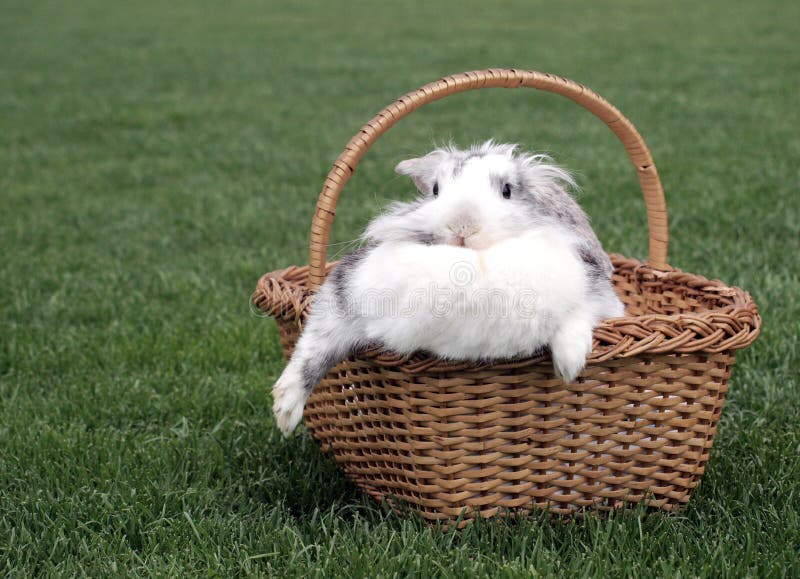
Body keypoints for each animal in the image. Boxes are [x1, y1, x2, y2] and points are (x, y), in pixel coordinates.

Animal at [271, 141, 625, 436]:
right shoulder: (343, 295)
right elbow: (313, 349)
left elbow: (578, 317)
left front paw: (569, 366)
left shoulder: (596, 297)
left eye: (507, 190)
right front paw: (285, 412)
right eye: (436, 190)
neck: (472, 265)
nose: (462, 225)